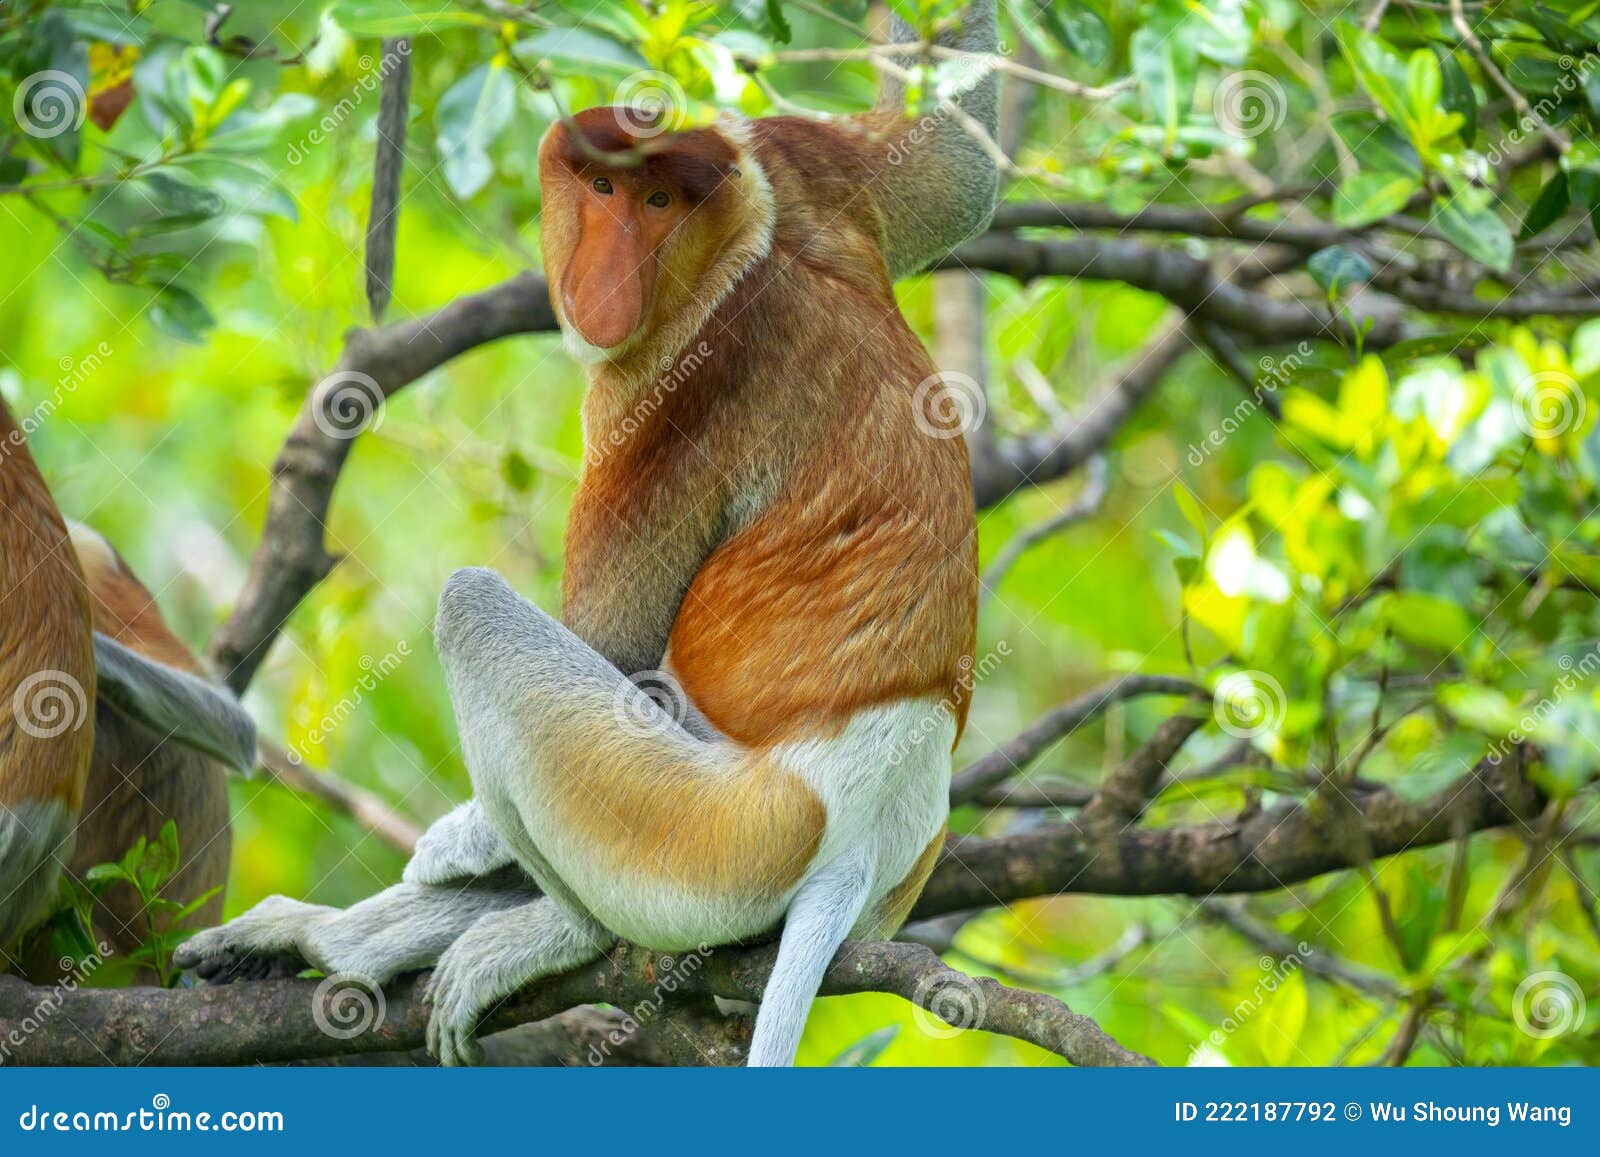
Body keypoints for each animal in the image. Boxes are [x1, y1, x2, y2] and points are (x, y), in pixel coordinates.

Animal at [174, 0, 998, 1067]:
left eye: (657, 200)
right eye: (602, 186)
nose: (604, 276)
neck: (741, 244)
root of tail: (865, 829)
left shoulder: (670, 393)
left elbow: (619, 645)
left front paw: (453, 842)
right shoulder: (800, 166)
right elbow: (958, 163)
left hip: (703, 834)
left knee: (477, 613)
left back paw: (542, 932)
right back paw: (325, 939)